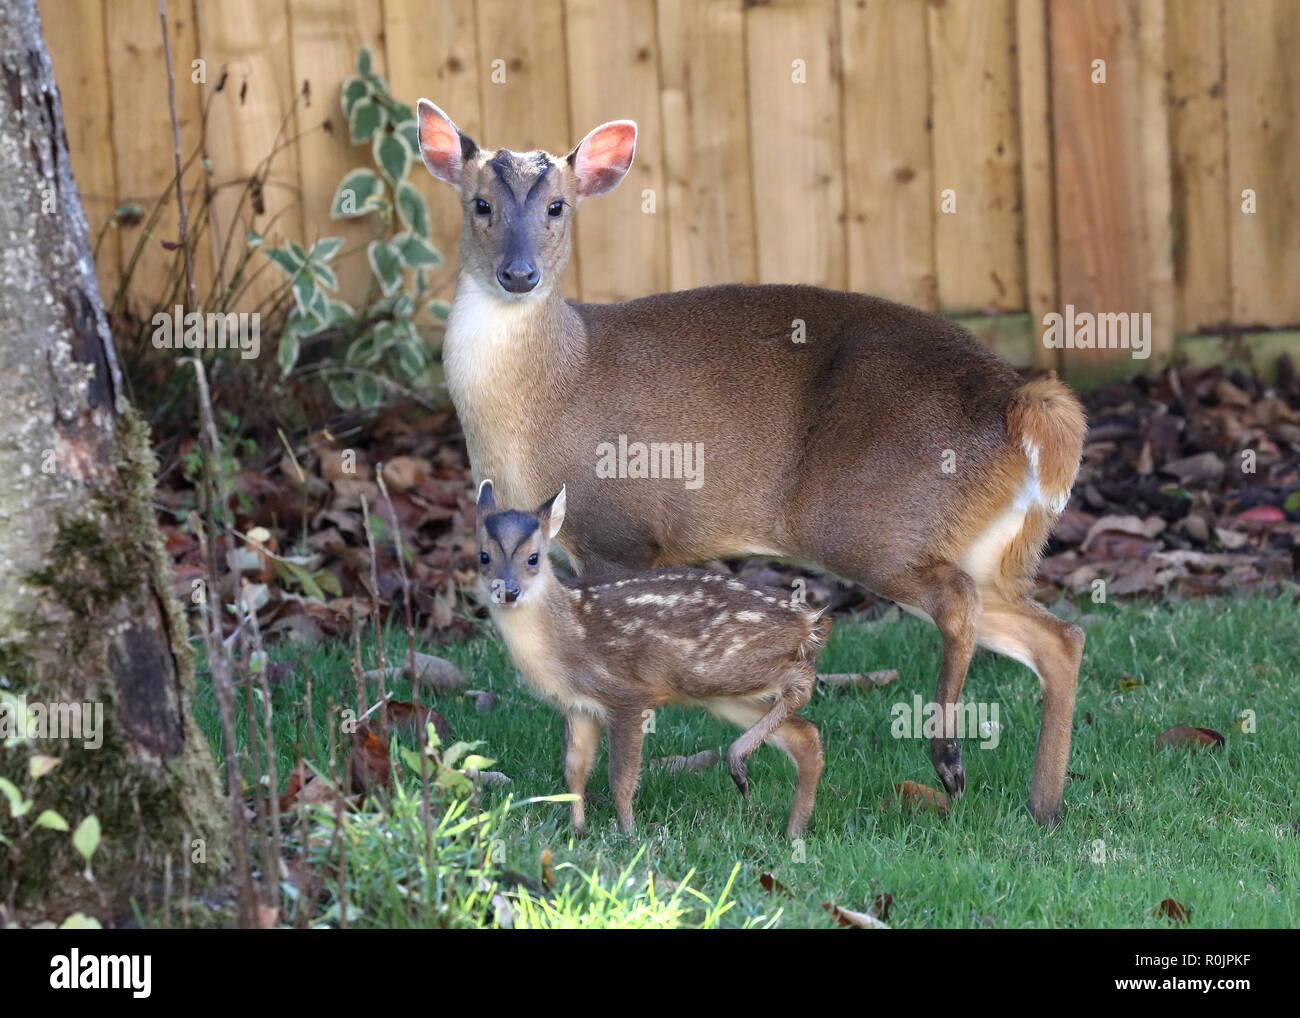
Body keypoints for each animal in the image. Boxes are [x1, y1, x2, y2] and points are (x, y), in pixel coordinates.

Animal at [475, 479, 827, 838]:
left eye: (534, 558)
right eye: (484, 556)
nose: (508, 591)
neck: (566, 641)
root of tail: (808, 620)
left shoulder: (628, 695)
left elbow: (621, 778)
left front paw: (629, 833)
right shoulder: (578, 706)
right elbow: (574, 771)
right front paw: (577, 829)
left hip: (721, 666)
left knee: (804, 679)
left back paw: (739, 766)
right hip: (722, 694)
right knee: (806, 734)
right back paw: (792, 829)